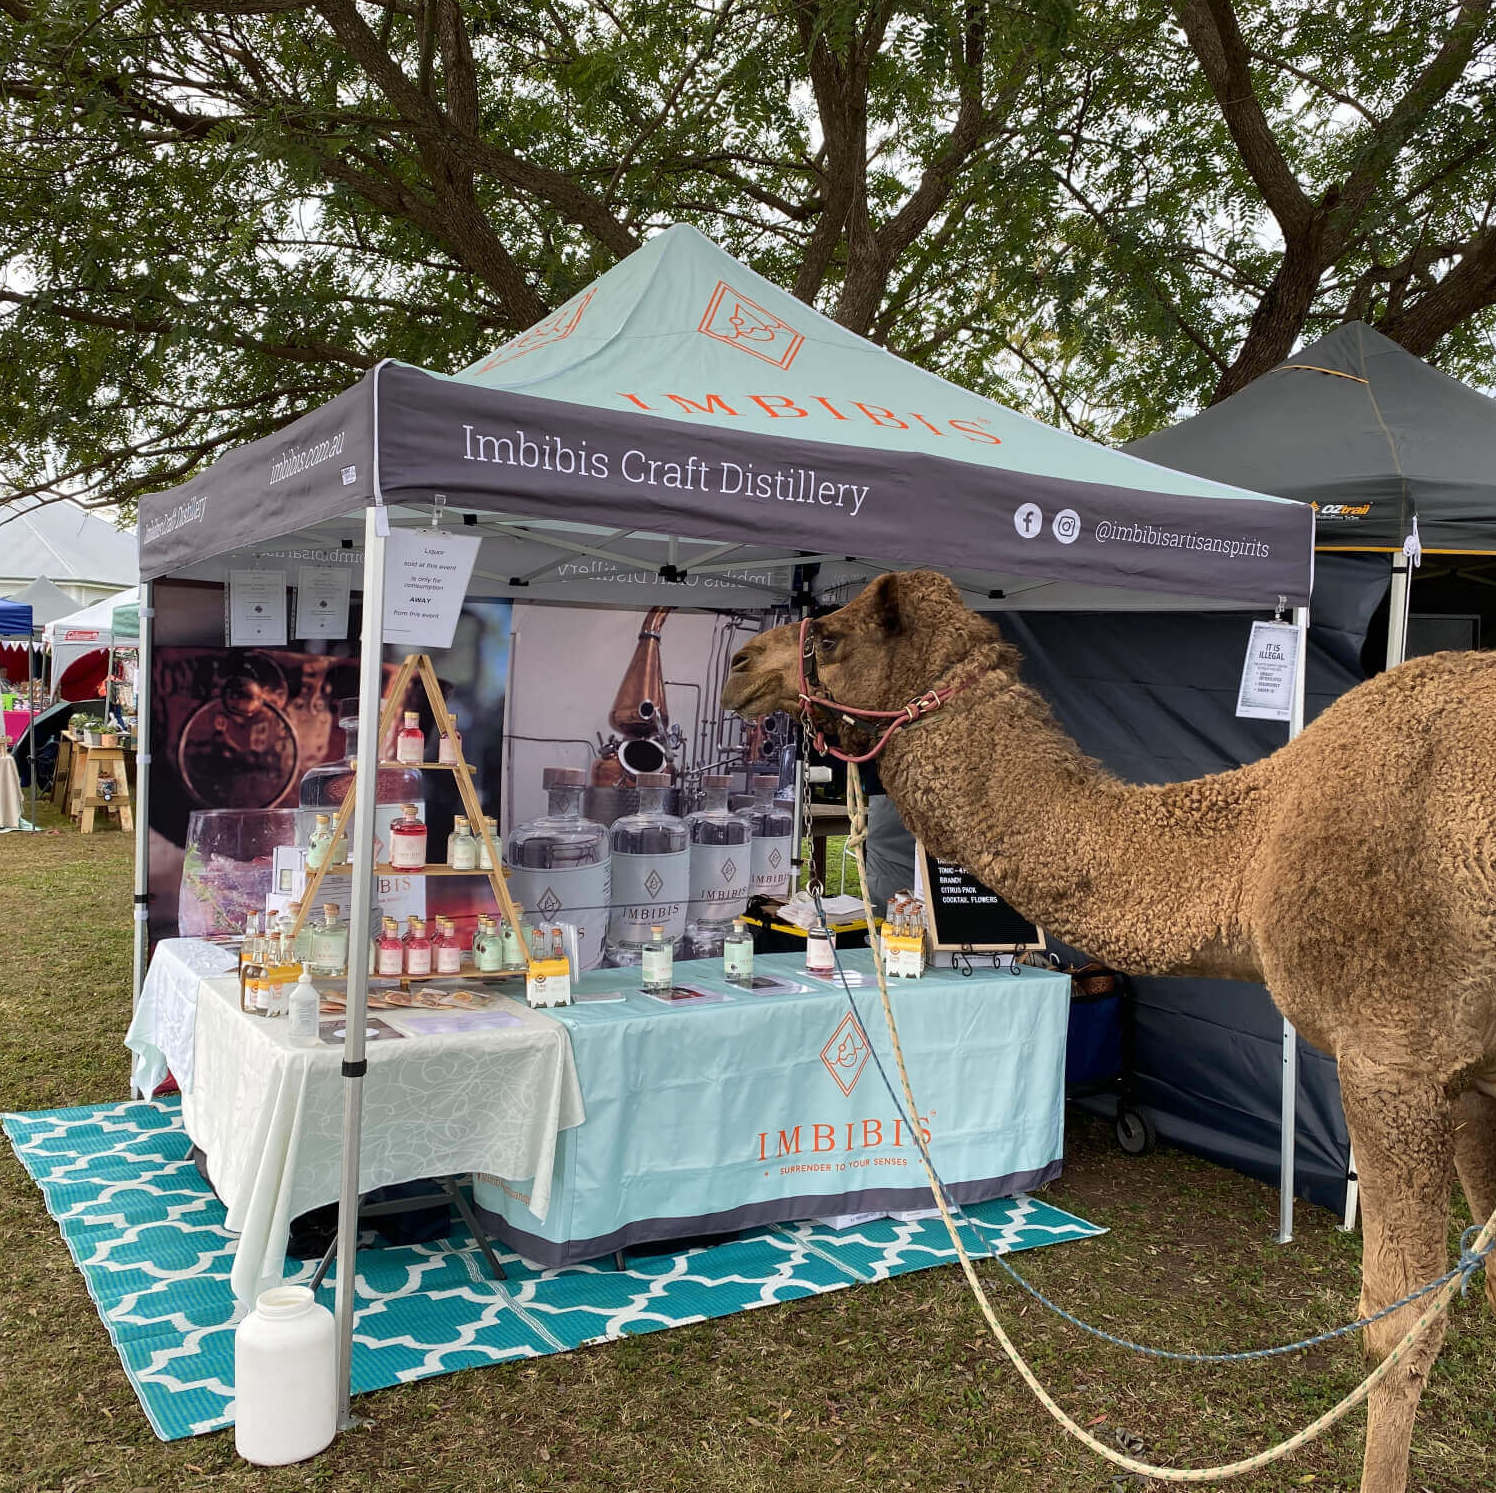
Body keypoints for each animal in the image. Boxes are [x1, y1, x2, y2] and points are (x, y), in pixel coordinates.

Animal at [722, 570, 1496, 1493]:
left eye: (833, 635)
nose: (739, 664)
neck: (1258, 847)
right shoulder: (1476, 1077)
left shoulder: (1395, 1057)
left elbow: (1398, 1323)